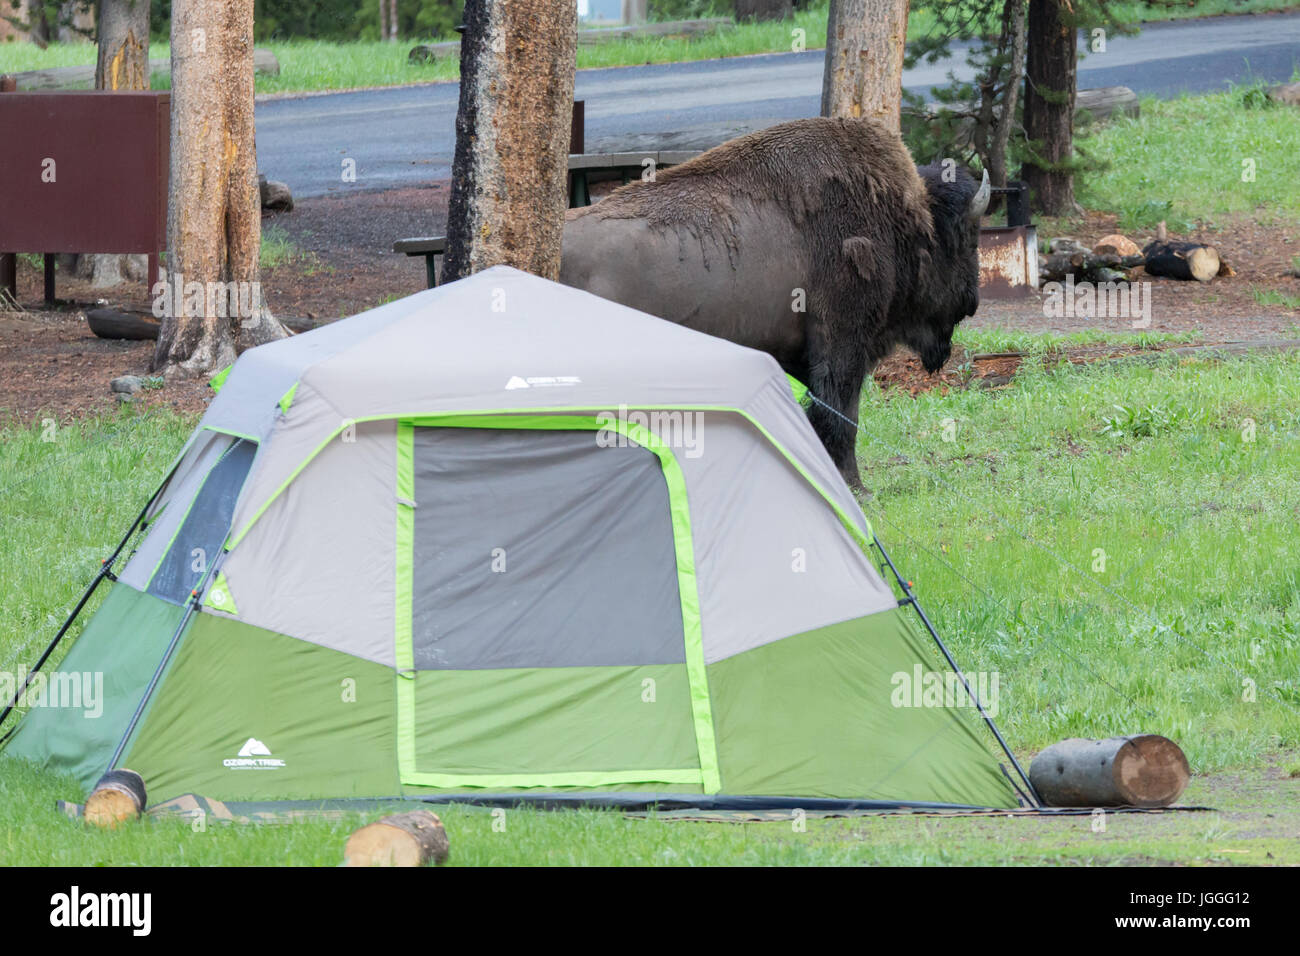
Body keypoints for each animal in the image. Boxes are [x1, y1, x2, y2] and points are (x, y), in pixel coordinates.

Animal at [560, 116, 989, 489]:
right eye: (967, 237)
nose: (972, 301)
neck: (905, 218)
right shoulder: (843, 344)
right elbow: (841, 416)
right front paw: (854, 487)